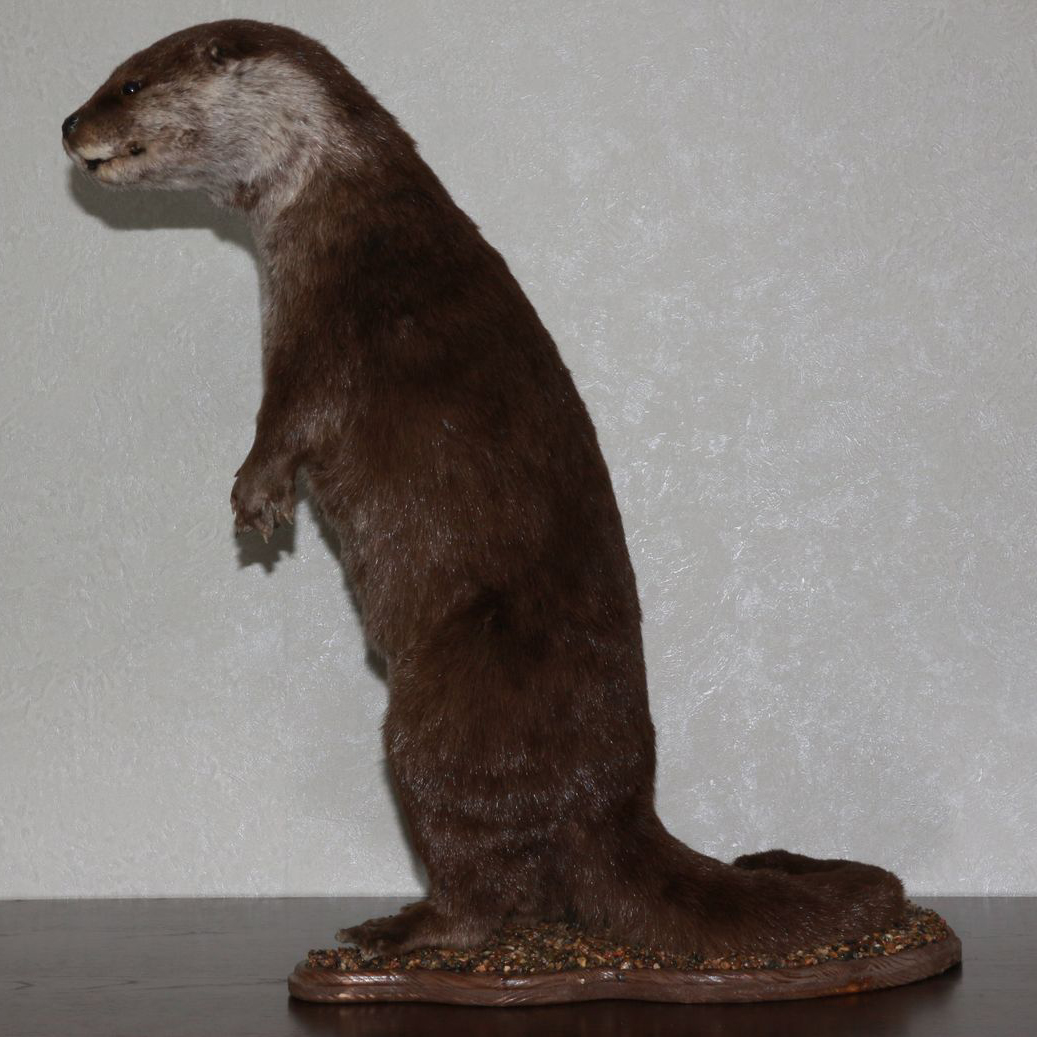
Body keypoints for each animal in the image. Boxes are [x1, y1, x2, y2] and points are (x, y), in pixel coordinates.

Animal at [63, 19, 906, 957]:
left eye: (129, 84)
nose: (67, 125)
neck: (345, 203)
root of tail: (612, 806)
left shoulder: (336, 327)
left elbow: (287, 422)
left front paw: (256, 501)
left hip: (435, 722)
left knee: (478, 894)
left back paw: (395, 930)